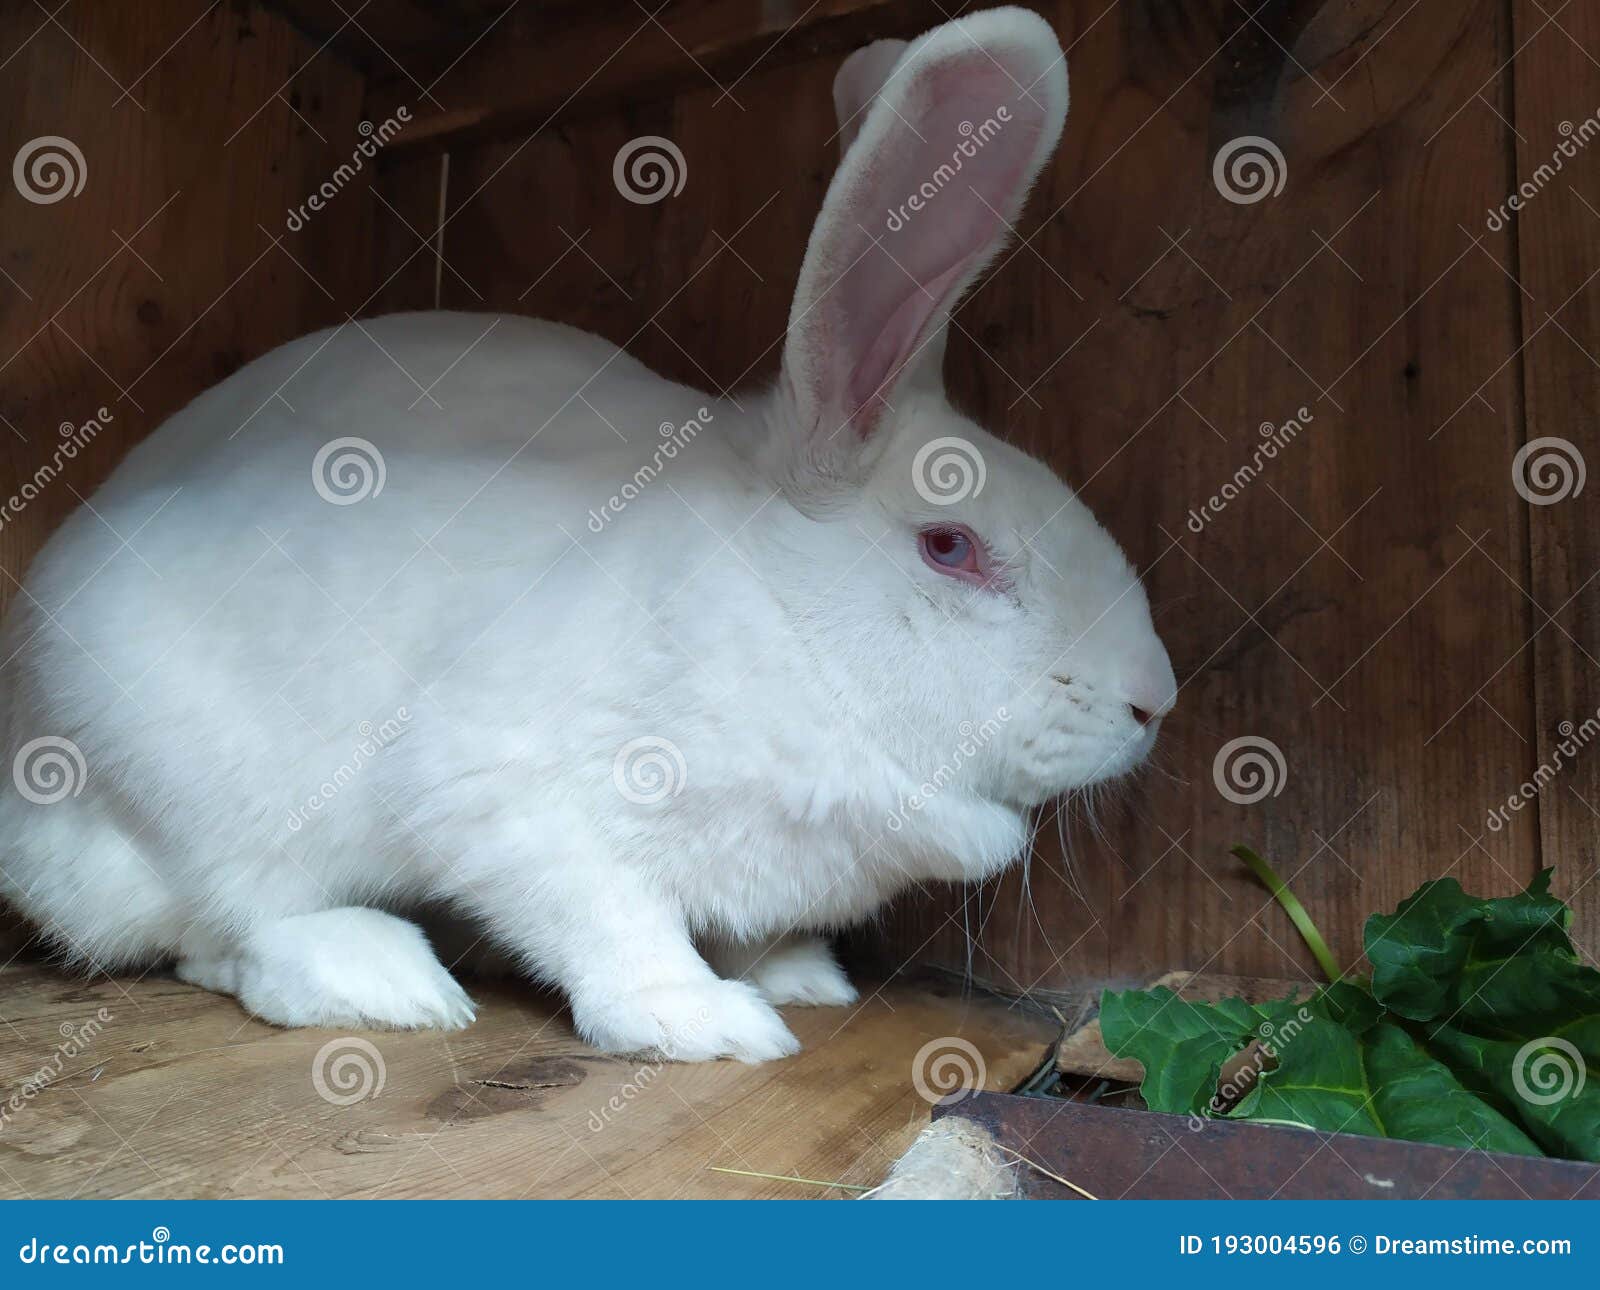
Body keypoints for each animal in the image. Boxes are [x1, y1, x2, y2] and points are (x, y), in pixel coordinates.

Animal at [0, 7, 1175, 1062]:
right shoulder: (520, 800)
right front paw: (703, 1022)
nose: (1153, 702)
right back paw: (387, 978)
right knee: (225, 931)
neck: (781, 614)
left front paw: (799, 978)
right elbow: (611, 921)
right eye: (950, 547)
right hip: (195, 799)